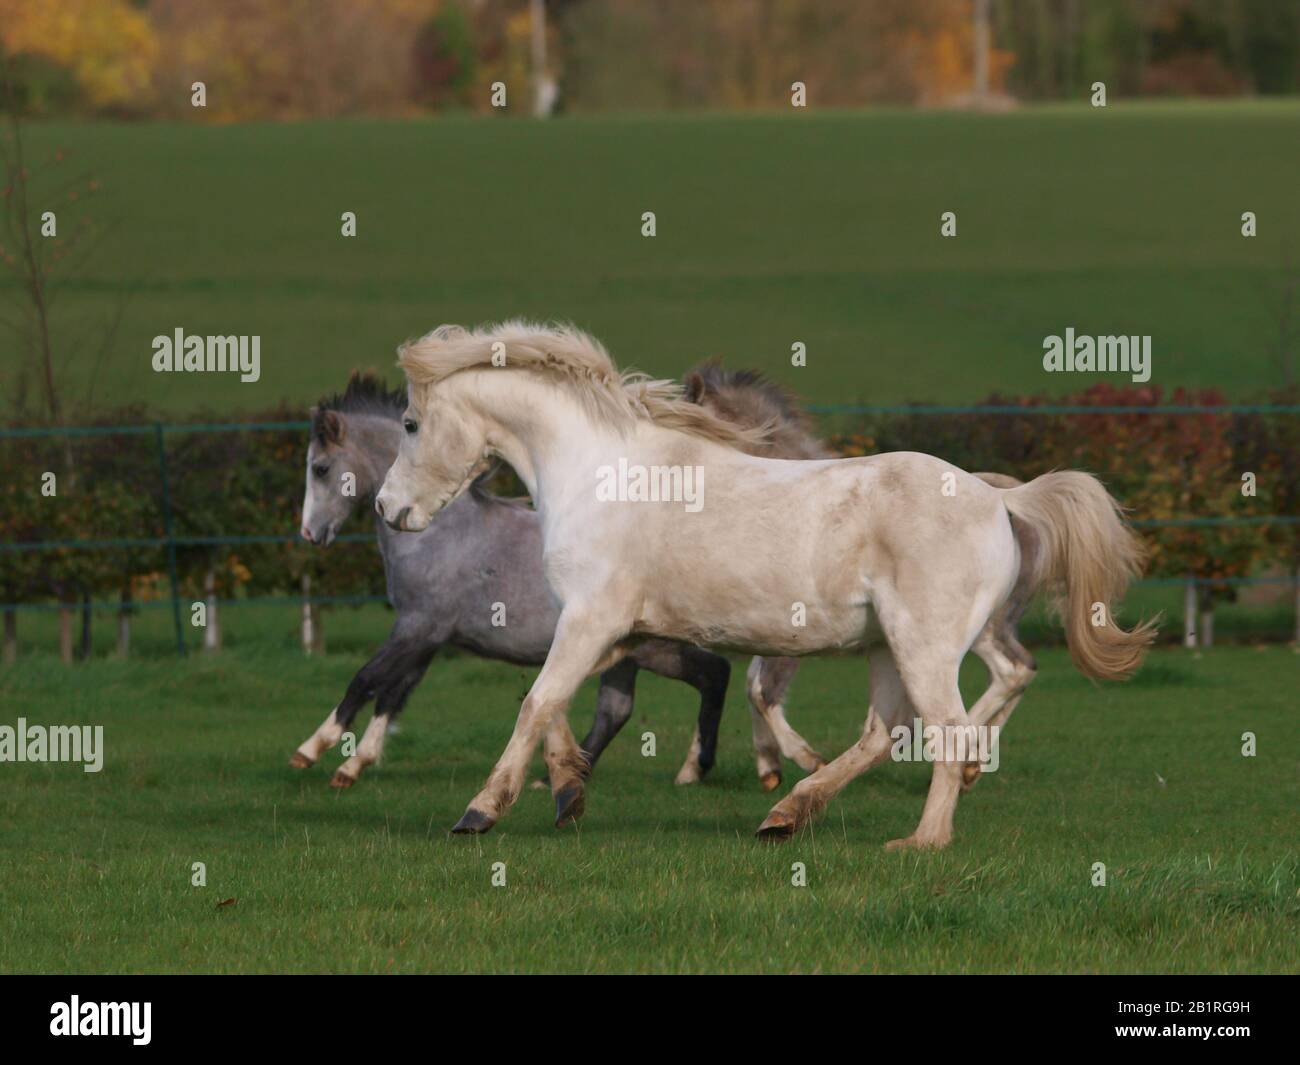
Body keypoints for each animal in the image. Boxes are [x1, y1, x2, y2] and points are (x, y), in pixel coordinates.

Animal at [377, 321, 1156, 849]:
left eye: (410, 423)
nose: (387, 509)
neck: (604, 472)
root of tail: (999, 497)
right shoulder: (608, 630)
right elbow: (549, 703)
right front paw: (568, 791)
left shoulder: (591, 619)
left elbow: (537, 703)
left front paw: (480, 811)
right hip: (888, 646)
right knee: (887, 733)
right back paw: (787, 812)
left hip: (924, 646)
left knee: (951, 734)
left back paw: (919, 840)